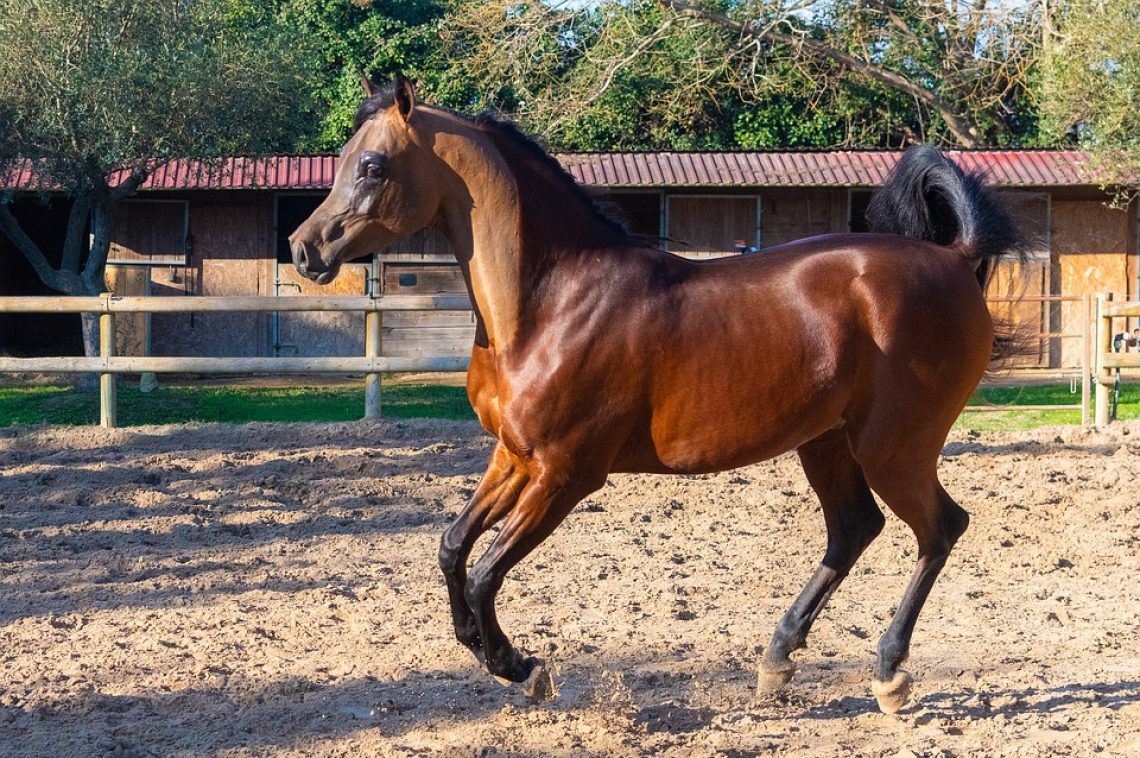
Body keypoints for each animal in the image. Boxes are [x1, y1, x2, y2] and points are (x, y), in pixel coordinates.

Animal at [289, 75, 1024, 714]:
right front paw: (488, 653)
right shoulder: (515, 457)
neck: (551, 302)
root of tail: (954, 258)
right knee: (854, 529)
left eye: (373, 166)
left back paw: (889, 673)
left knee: (940, 528)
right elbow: (451, 549)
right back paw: (776, 661)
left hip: (894, 447)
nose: (303, 250)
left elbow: (485, 571)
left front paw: (523, 668)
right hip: (826, 444)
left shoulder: (567, 474)